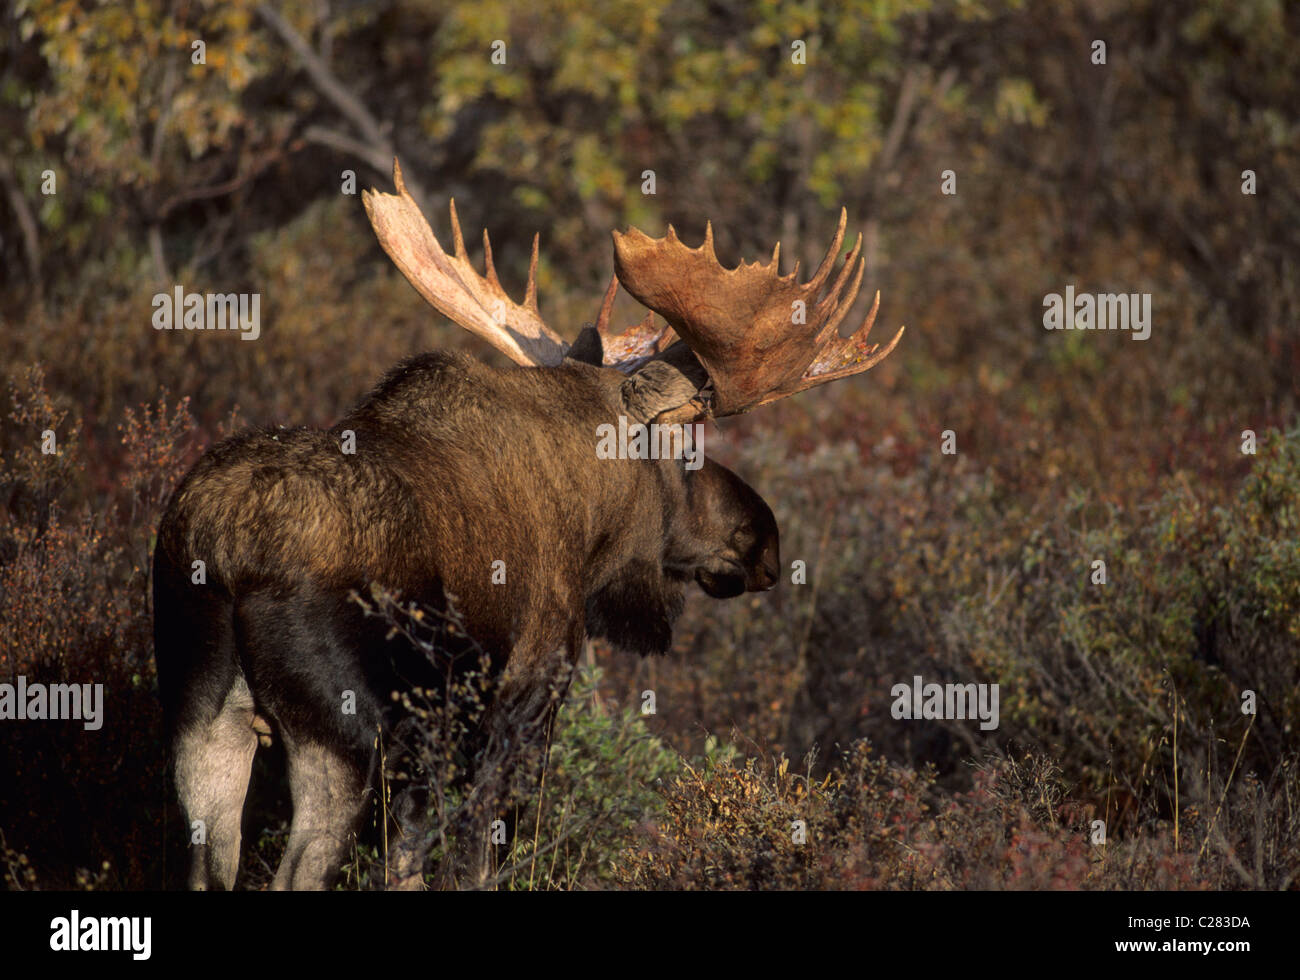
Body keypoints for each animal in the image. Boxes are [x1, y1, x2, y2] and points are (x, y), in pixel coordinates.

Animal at [151, 160, 903, 891]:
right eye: (687, 452)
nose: (764, 540)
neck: (593, 527)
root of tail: (224, 552)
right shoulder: (527, 693)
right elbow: (477, 860)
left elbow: (409, 865)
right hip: (343, 734)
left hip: (201, 717)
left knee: (206, 864)